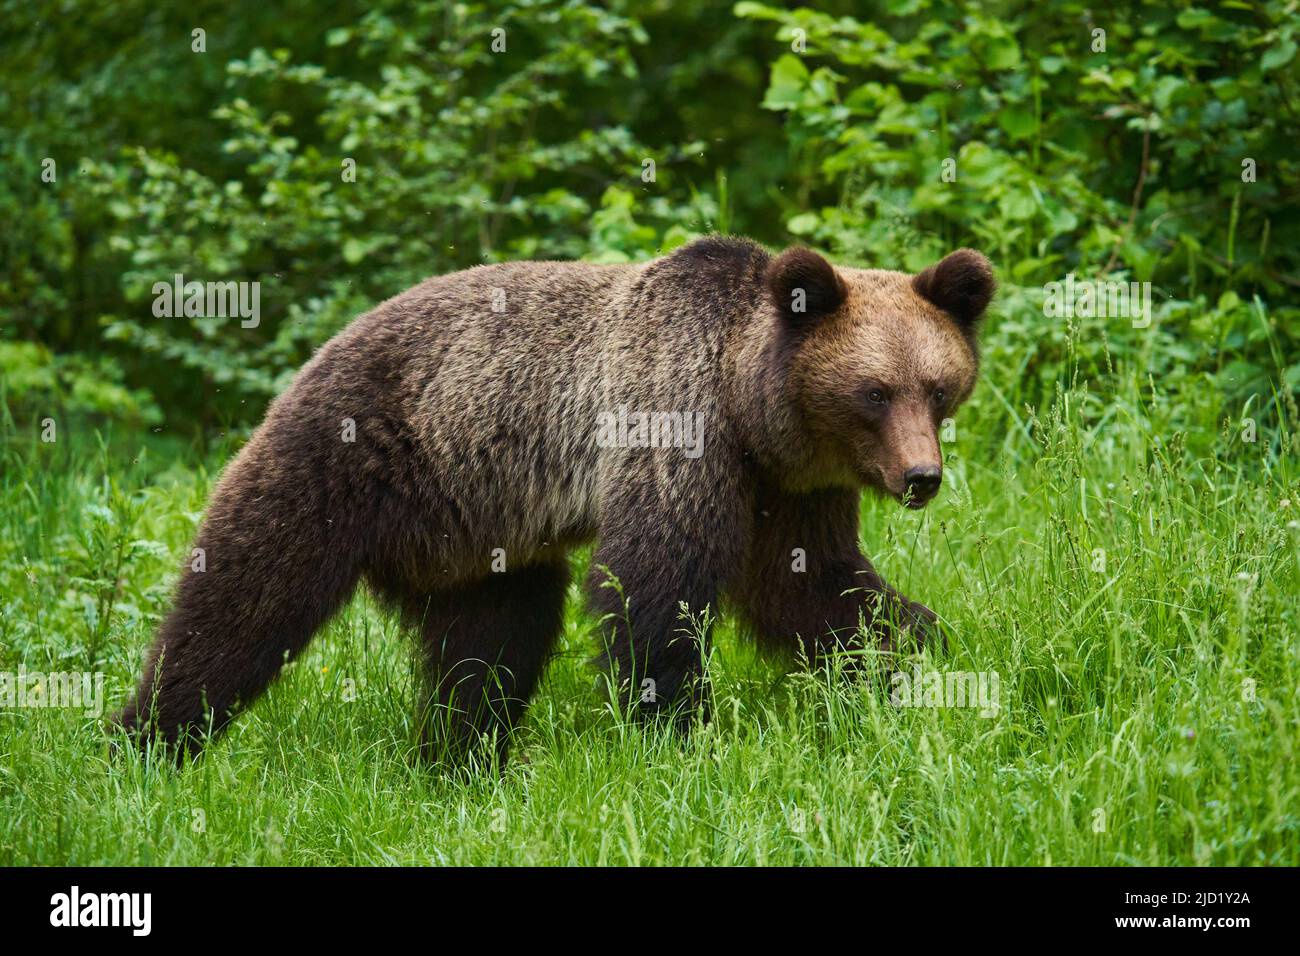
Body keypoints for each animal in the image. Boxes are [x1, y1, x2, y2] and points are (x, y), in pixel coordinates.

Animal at [115, 236, 994, 766]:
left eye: (937, 387)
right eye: (874, 392)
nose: (921, 476)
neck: (752, 411)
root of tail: (319, 351)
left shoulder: (794, 491)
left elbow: (814, 587)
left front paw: (921, 651)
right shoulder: (673, 424)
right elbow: (655, 586)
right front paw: (679, 729)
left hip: (472, 536)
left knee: (492, 641)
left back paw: (461, 757)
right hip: (346, 457)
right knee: (246, 597)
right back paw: (149, 739)